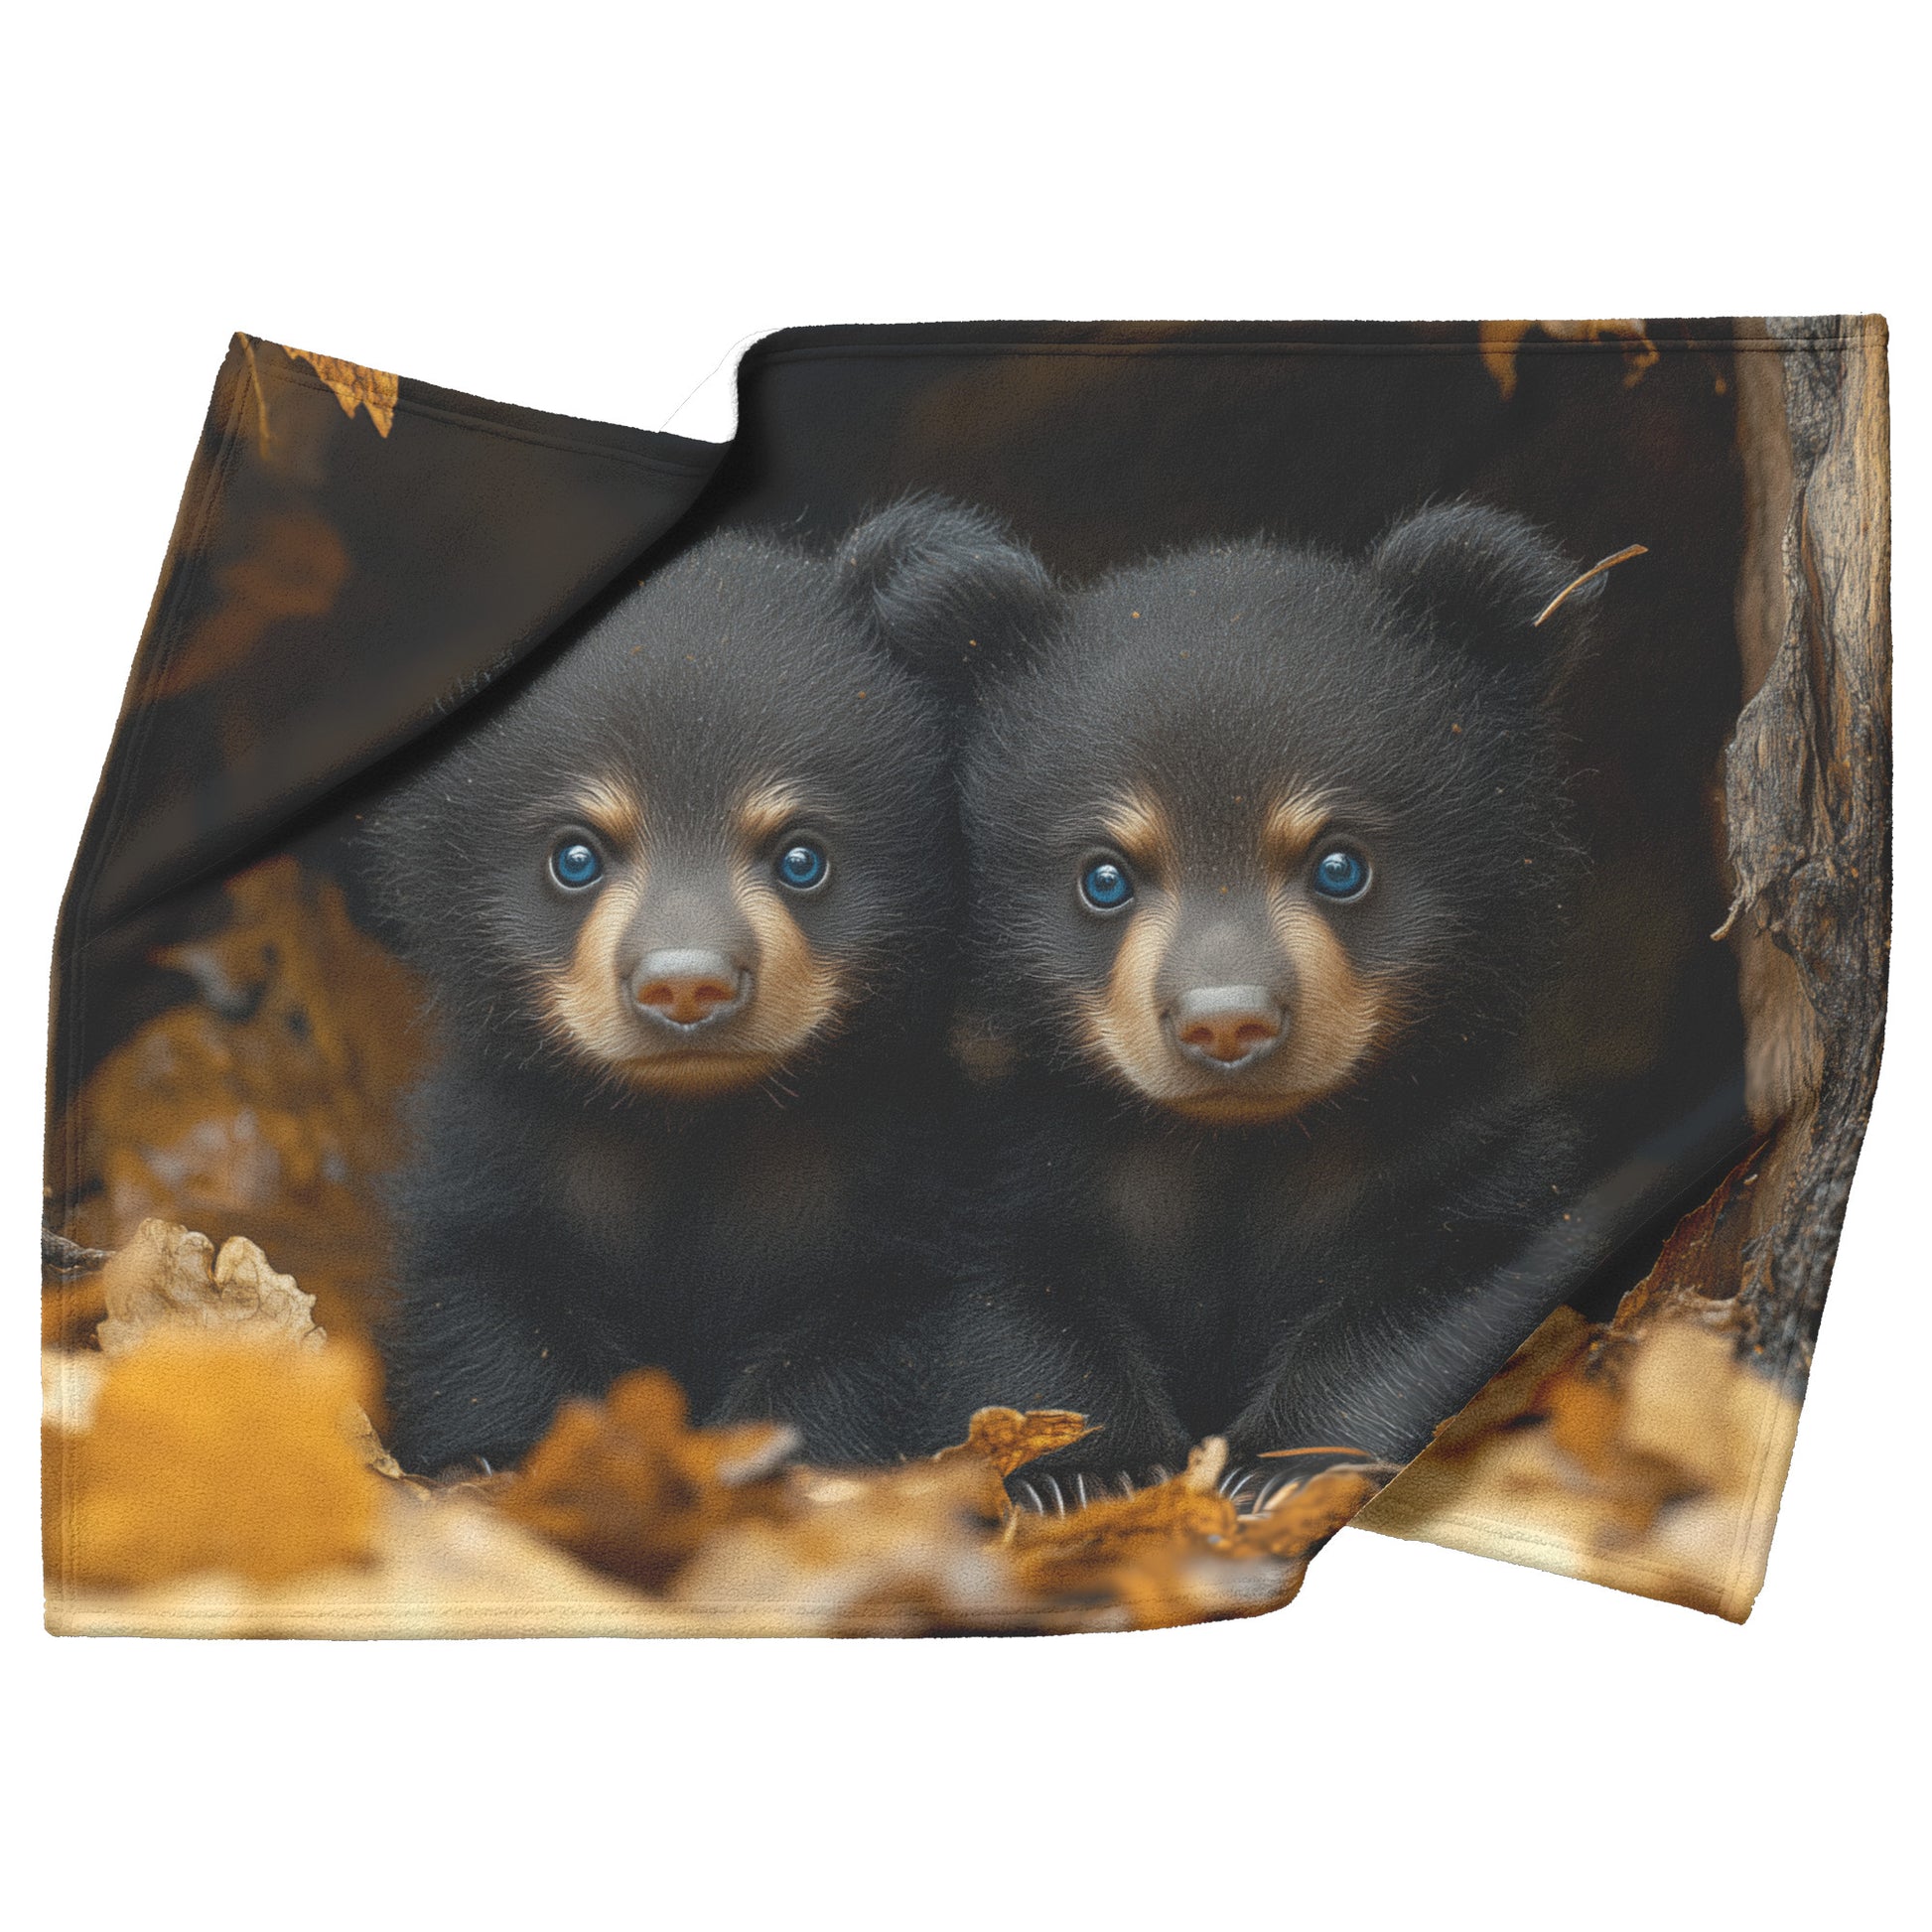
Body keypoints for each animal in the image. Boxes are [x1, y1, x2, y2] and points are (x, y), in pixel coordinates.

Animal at [370, 498, 1056, 1475]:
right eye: (574, 856)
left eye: (802, 858)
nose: (686, 986)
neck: (695, 1129)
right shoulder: (506, 1162)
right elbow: (486, 1317)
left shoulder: (899, 1194)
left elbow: (866, 1347)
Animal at [907, 501, 1611, 1507]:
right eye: (1105, 877)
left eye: (1340, 864)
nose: (1226, 1021)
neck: (1239, 1146)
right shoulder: (1010, 1153)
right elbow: (1006, 1291)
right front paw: (1088, 1477)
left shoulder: (1473, 1143)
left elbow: (1461, 1281)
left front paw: (1274, 1478)